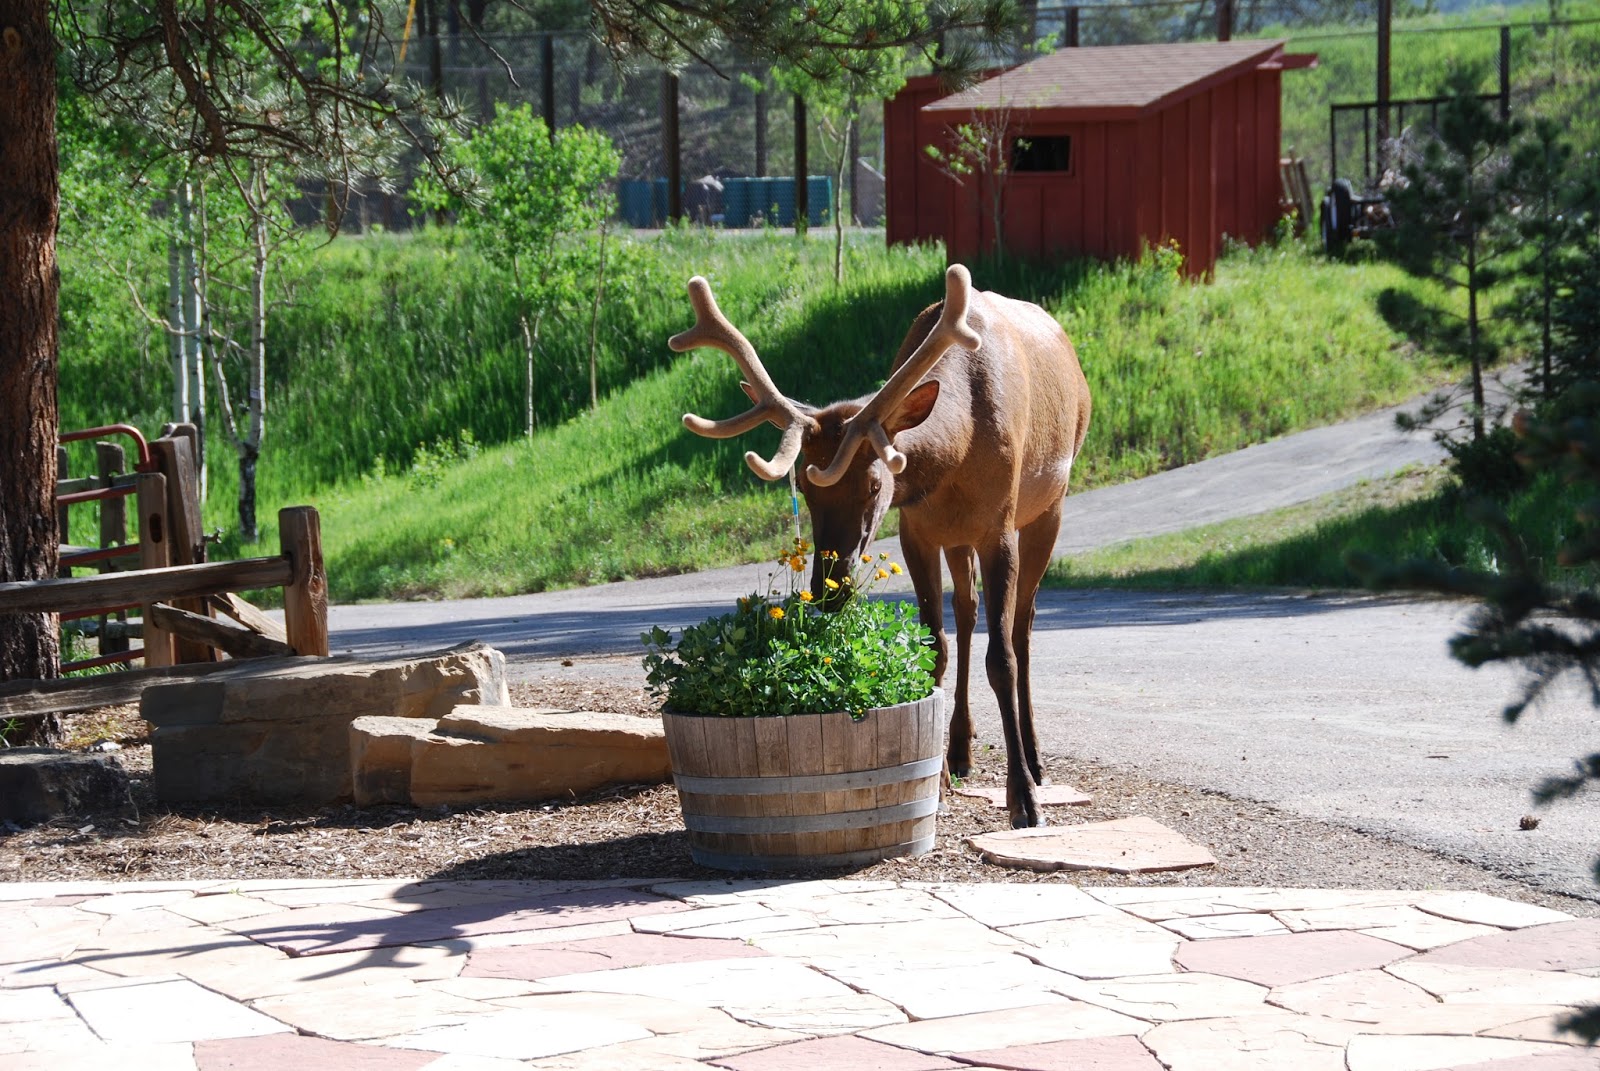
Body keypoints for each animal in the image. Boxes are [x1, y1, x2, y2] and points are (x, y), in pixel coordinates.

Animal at [670, 264, 1091, 829]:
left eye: (873, 485)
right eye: (805, 488)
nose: (829, 591)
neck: (957, 455)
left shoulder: (998, 527)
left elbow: (1000, 658)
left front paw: (1023, 799)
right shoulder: (918, 530)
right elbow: (934, 648)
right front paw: (937, 778)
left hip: (1049, 507)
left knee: (1022, 626)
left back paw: (1036, 758)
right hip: (959, 539)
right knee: (967, 610)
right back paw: (961, 750)